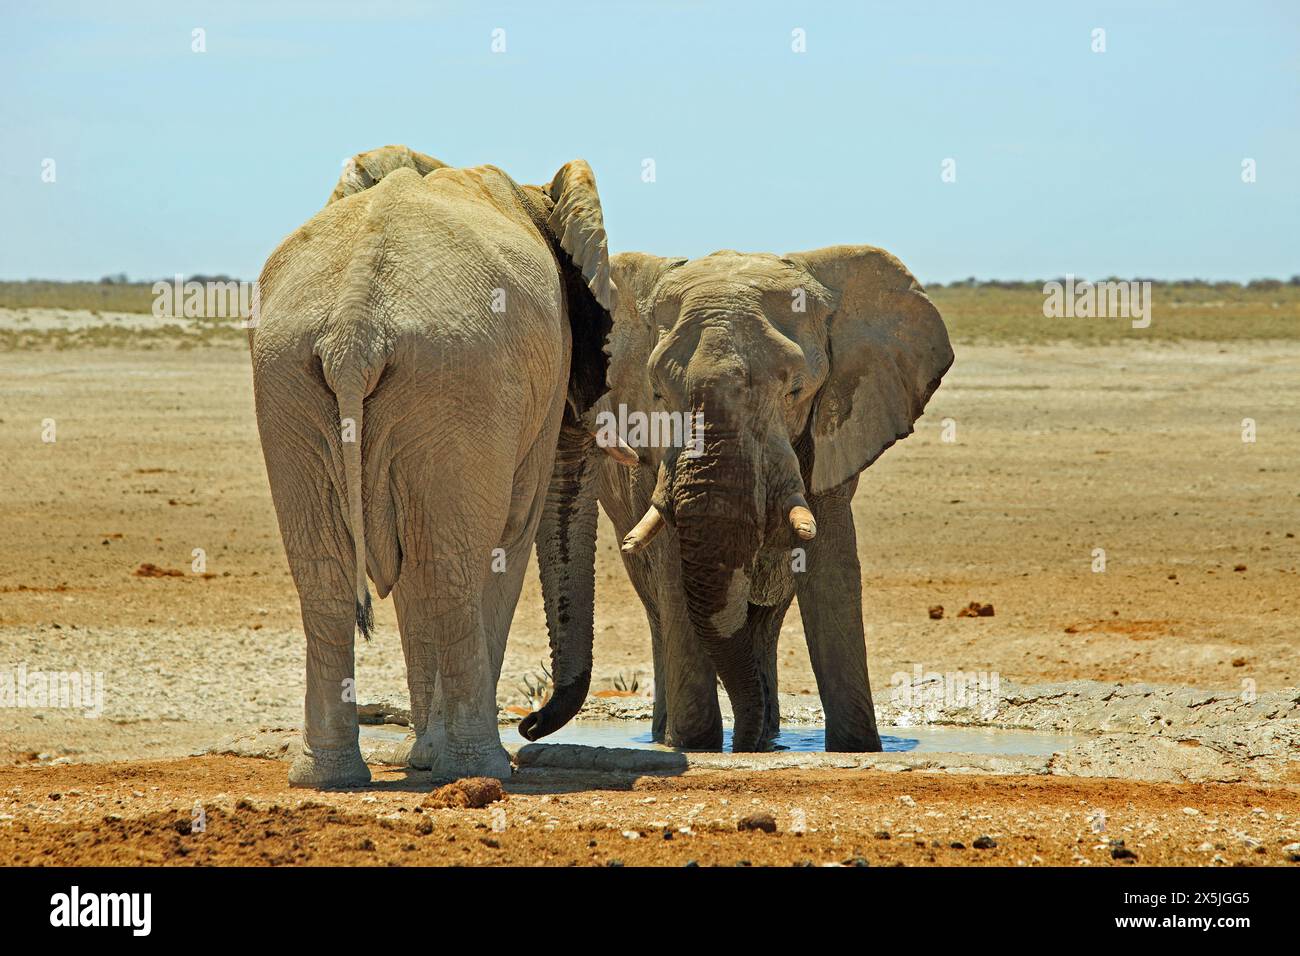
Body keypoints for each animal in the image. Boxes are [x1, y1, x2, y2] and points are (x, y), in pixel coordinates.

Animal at [250, 144, 624, 786]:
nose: (532, 725)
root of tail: (353, 329)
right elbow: (508, 536)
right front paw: (440, 759)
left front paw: (423, 759)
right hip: (455, 374)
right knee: (448, 570)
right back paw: (483, 767)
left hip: (290, 375)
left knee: (329, 575)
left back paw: (328, 777)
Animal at [521, 246, 953, 753]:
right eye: (657, 392)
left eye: (795, 391)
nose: (527, 725)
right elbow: (674, 569)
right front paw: (695, 745)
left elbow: (831, 565)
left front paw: (857, 748)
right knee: (660, 610)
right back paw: (676, 737)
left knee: (765, 620)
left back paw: (767, 737)